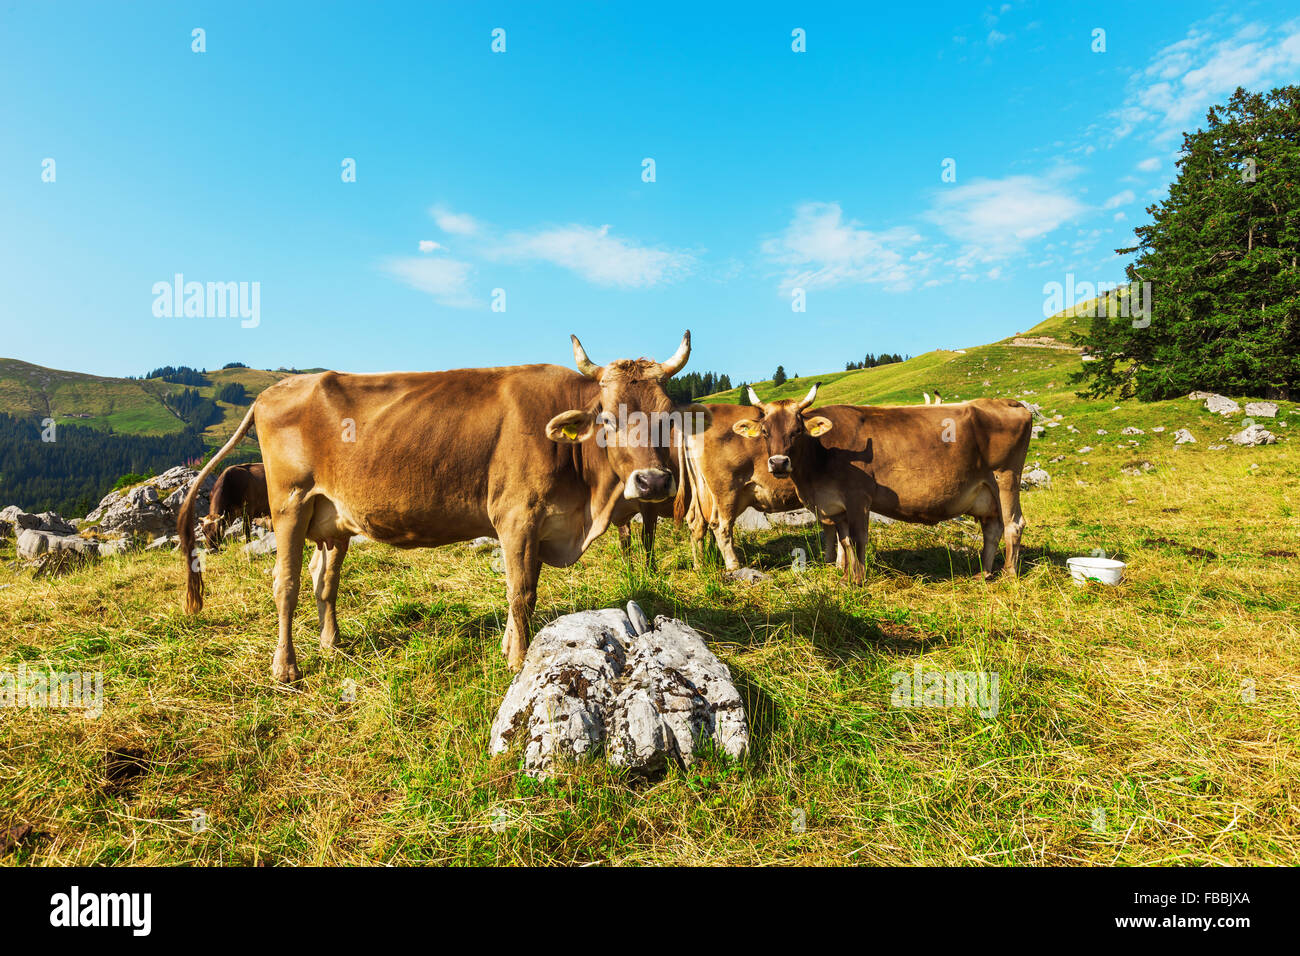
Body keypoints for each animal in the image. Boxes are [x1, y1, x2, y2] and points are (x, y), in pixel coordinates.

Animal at [177, 332, 711, 682]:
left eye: (667, 417)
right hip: (288, 504)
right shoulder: (517, 517)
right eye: (607, 419)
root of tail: (275, 390)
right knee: (285, 584)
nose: (654, 480)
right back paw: (286, 666)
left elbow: (523, 589)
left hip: (328, 518)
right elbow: (521, 593)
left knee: (323, 581)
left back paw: (330, 643)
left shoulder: (536, 527)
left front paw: (509, 647)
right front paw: (518, 660)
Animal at [683, 403, 839, 571]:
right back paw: (733, 565)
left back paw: (699, 565)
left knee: (696, 522)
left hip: (702, 490)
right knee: (720, 525)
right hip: (725, 491)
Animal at [734, 385, 1032, 584]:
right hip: (986, 492)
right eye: (765, 432)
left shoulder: (858, 498)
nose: (778, 463)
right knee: (992, 528)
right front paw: (845, 578)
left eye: (797, 431)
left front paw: (858, 580)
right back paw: (984, 573)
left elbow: (858, 539)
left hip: (1006, 477)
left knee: (1013, 524)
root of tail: (1008, 403)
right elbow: (844, 541)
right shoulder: (836, 505)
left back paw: (1008, 574)